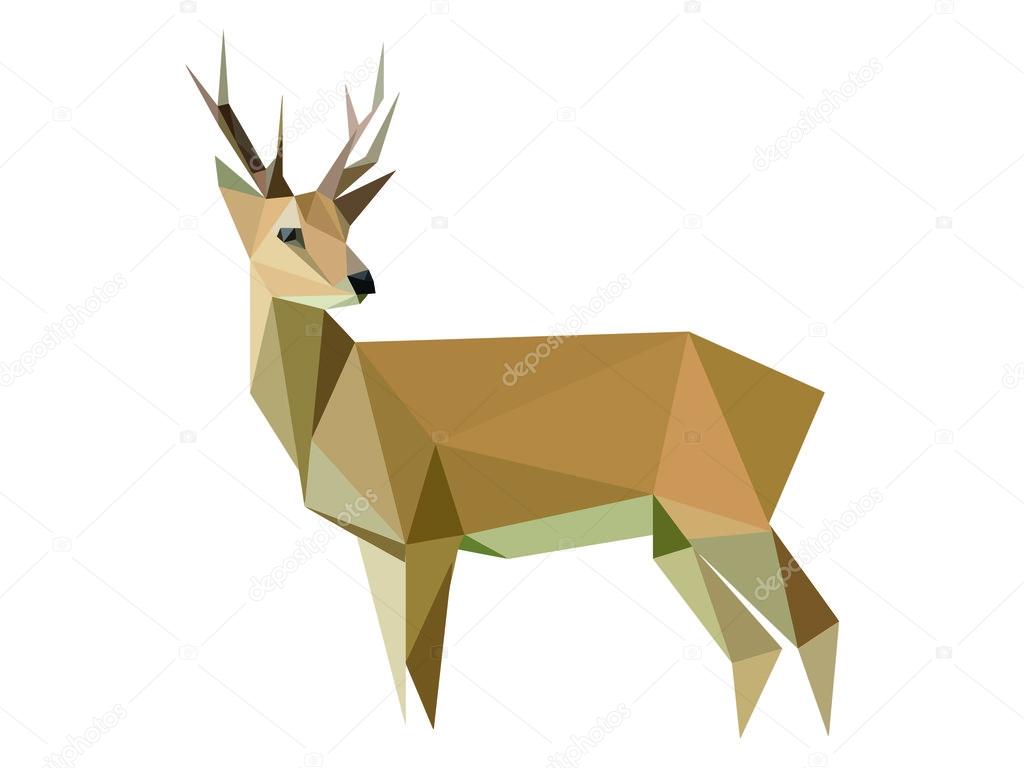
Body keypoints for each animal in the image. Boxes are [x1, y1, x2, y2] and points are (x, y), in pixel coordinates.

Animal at [189, 39, 838, 735]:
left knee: (817, 624)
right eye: (288, 229)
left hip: (730, 511)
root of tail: (806, 395)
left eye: (346, 225)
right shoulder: (381, 546)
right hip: (676, 534)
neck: (333, 404)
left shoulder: (427, 537)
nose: (363, 280)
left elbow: (422, 680)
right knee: (755, 646)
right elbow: (398, 675)